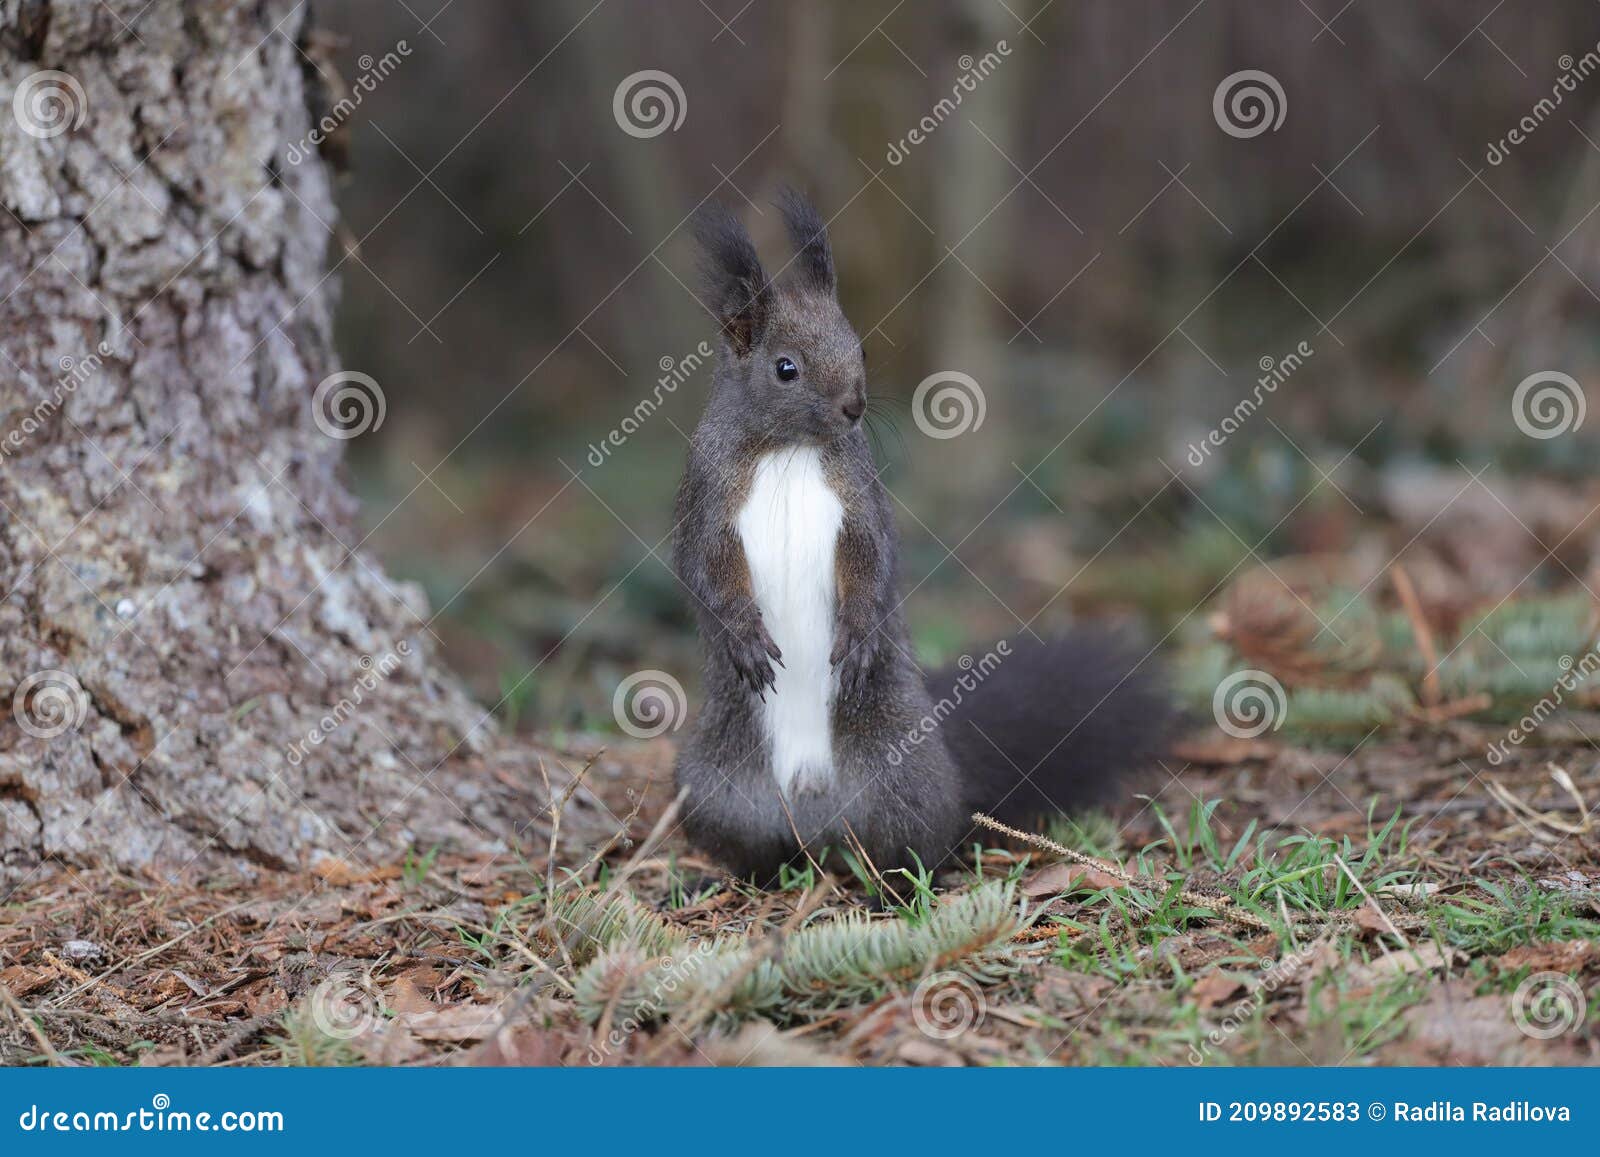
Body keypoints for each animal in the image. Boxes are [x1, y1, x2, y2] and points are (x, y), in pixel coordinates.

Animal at [671, 188, 1175, 884]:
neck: (788, 450)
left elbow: (871, 559)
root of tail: (816, 810)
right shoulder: (709, 497)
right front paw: (743, 634)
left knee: (916, 841)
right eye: (785, 368)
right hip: (714, 787)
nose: (855, 407)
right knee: (753, 846)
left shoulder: (860, 500)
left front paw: (858, 634)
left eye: (859, 349)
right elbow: (703, 567)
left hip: (905, 774)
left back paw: (892, 888)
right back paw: (732, 880)